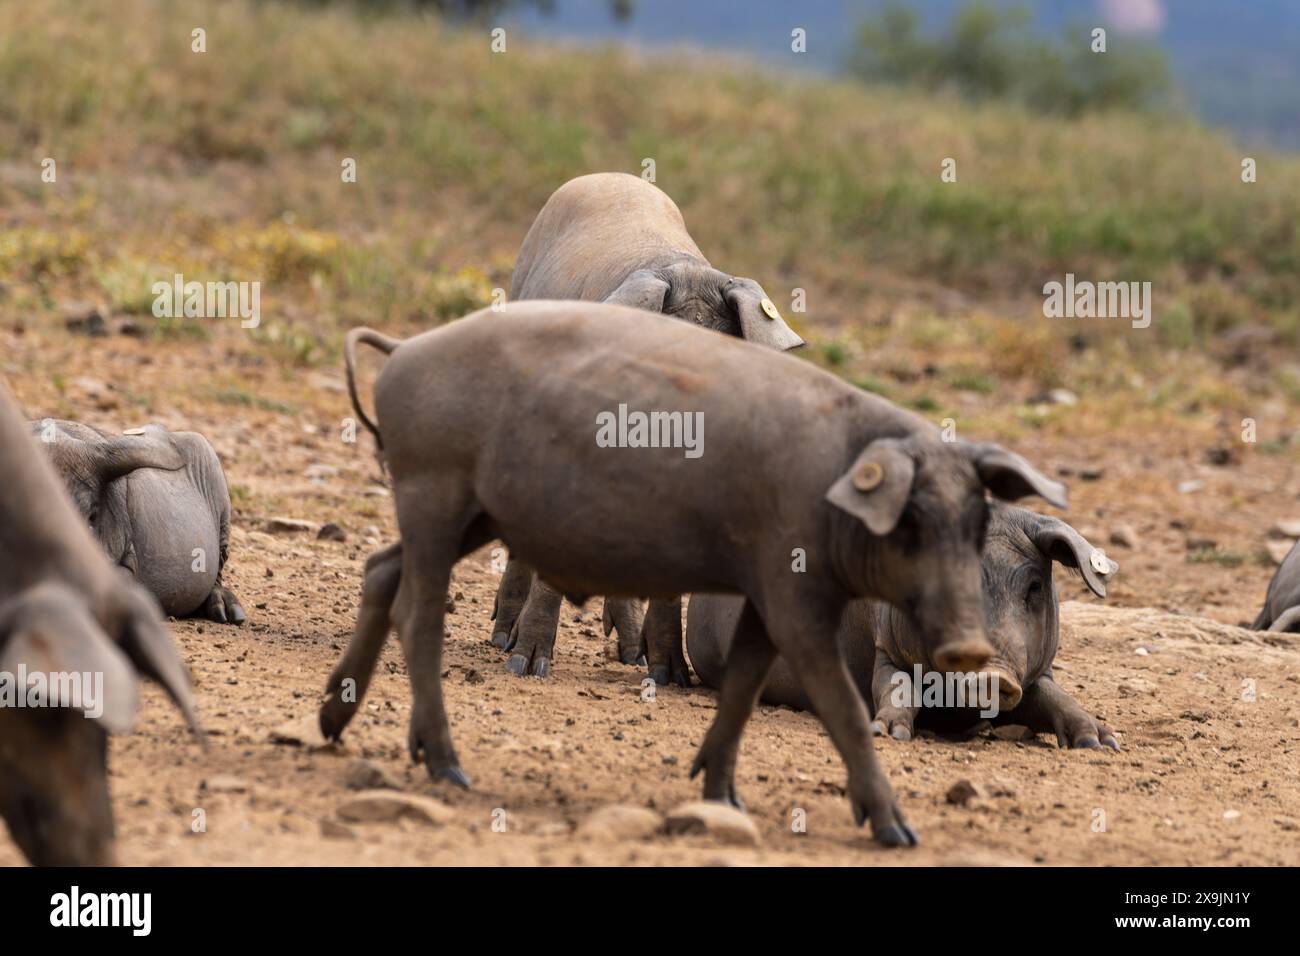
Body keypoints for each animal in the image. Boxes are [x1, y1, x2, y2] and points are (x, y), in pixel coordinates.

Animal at [319, 301, 1068, 847]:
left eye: (975, 520)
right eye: (908, 520)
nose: (975, 656)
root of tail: (404, 351)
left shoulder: (764, 599)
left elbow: (739, 690)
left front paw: (722, 798)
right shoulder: (795, 595)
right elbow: (845, 710)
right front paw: (899, 835)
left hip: (471, 513)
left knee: (380, 571)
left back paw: (334, 727)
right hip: (433, 488)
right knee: (418, 612)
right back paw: (450, 770)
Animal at [687, 503, 1120, 750]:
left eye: (1034, 586)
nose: (990, 675)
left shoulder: (1035, 673)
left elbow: (1053, 697)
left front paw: (1101, 741)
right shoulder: (886, 650)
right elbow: (897, 688)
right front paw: (887, 733)